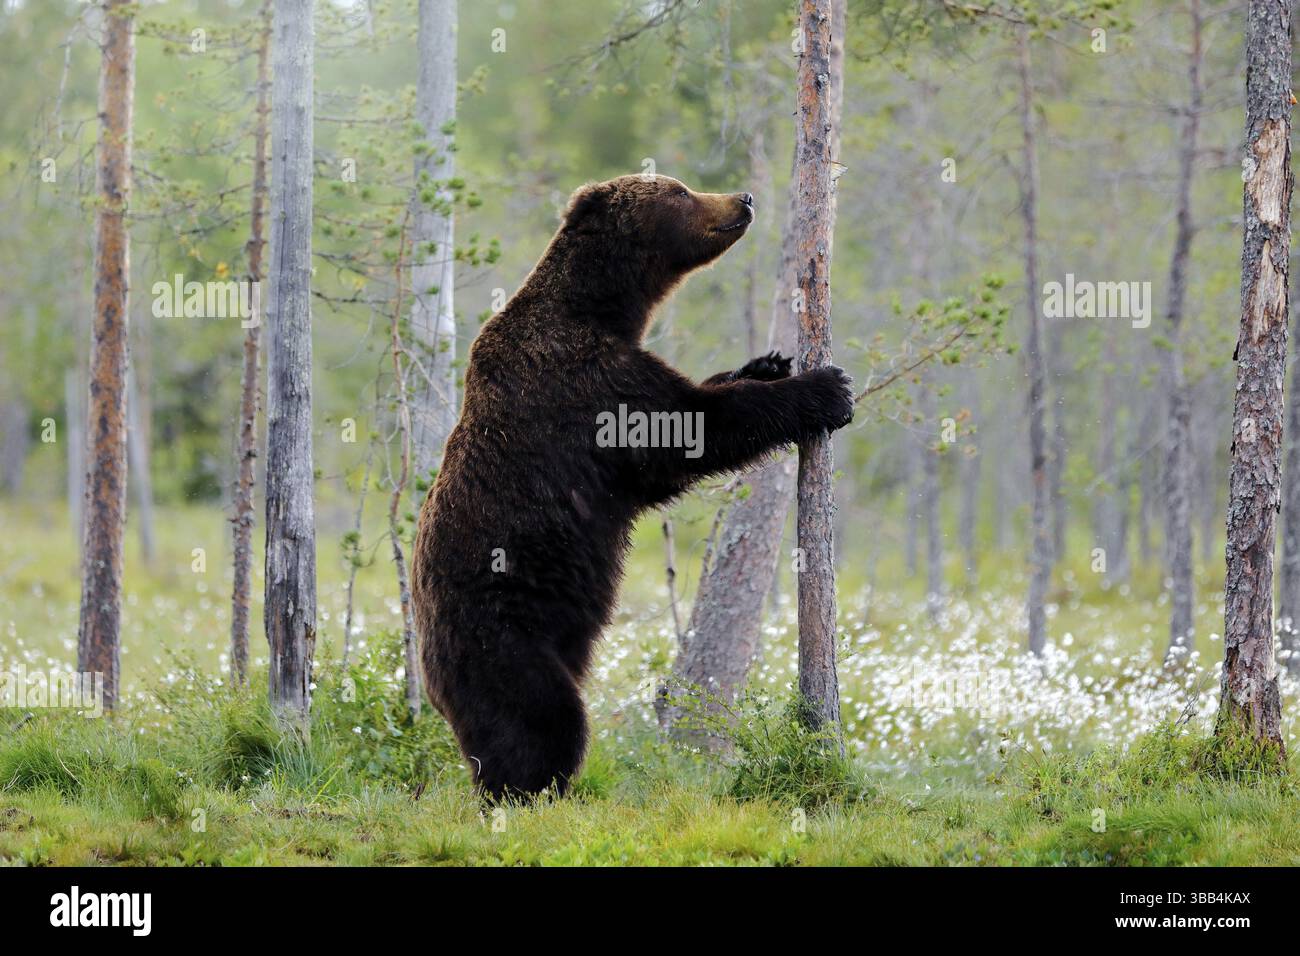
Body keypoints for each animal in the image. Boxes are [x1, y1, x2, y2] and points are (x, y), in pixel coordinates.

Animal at [411, 174, 854, 801]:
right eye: (681, 191)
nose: (742, 199)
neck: (604, 309)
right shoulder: (587, 384)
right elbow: (690, 427)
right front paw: (825, 389)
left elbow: (680, 438)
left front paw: (766, 364)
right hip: (500, 635)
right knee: (539, 720)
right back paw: (530, 794)